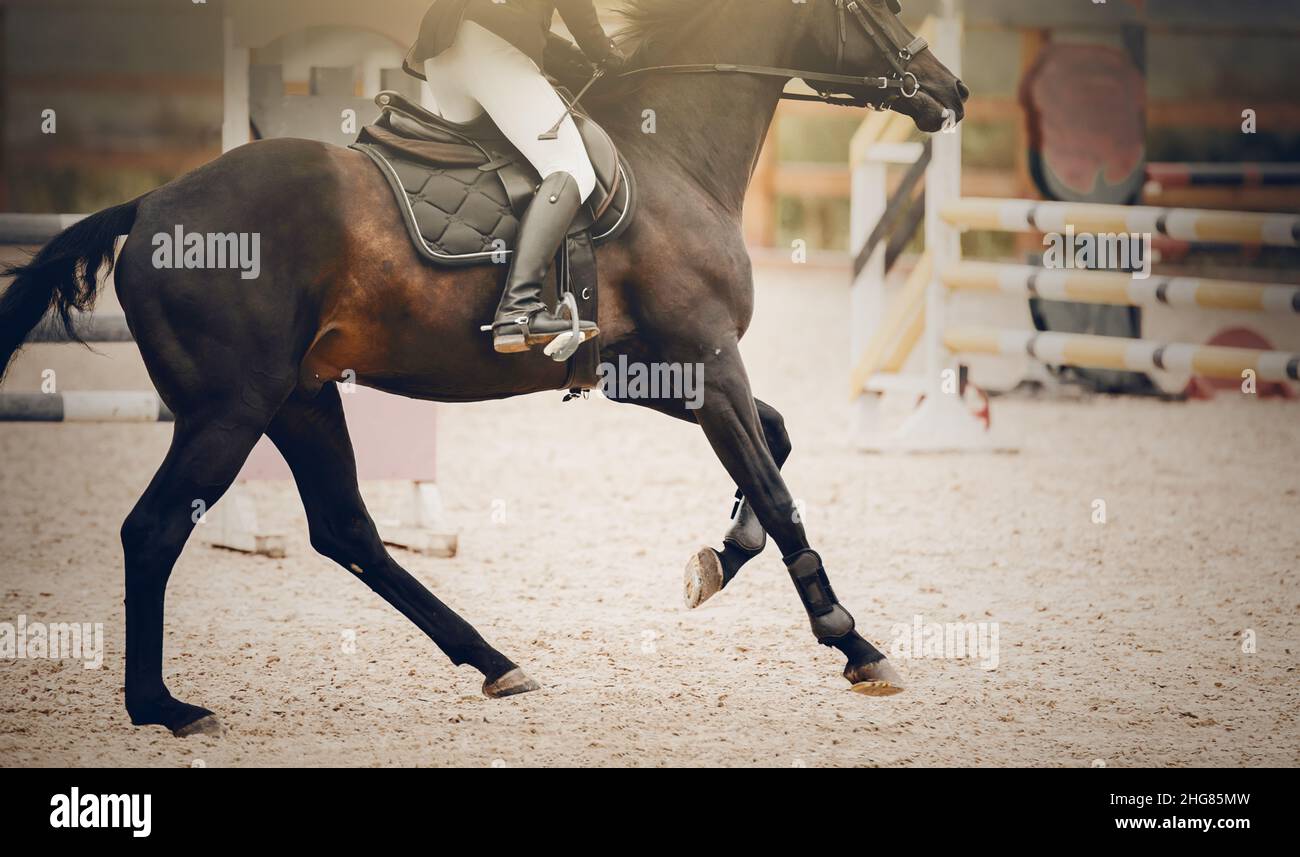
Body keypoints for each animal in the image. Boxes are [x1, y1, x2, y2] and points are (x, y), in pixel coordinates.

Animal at [0, 0, 966, 737]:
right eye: (876, 6)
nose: (950, 91)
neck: (672, 160)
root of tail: (148, 205)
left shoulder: (655, 373)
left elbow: (778, 442)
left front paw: (716, 563)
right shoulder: (709, 362)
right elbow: (776, 485)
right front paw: (855, 644)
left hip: (298, 397)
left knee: (346, 529)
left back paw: (494, 661)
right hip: (229, 410)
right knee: (155, 529)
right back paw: (162, 706)